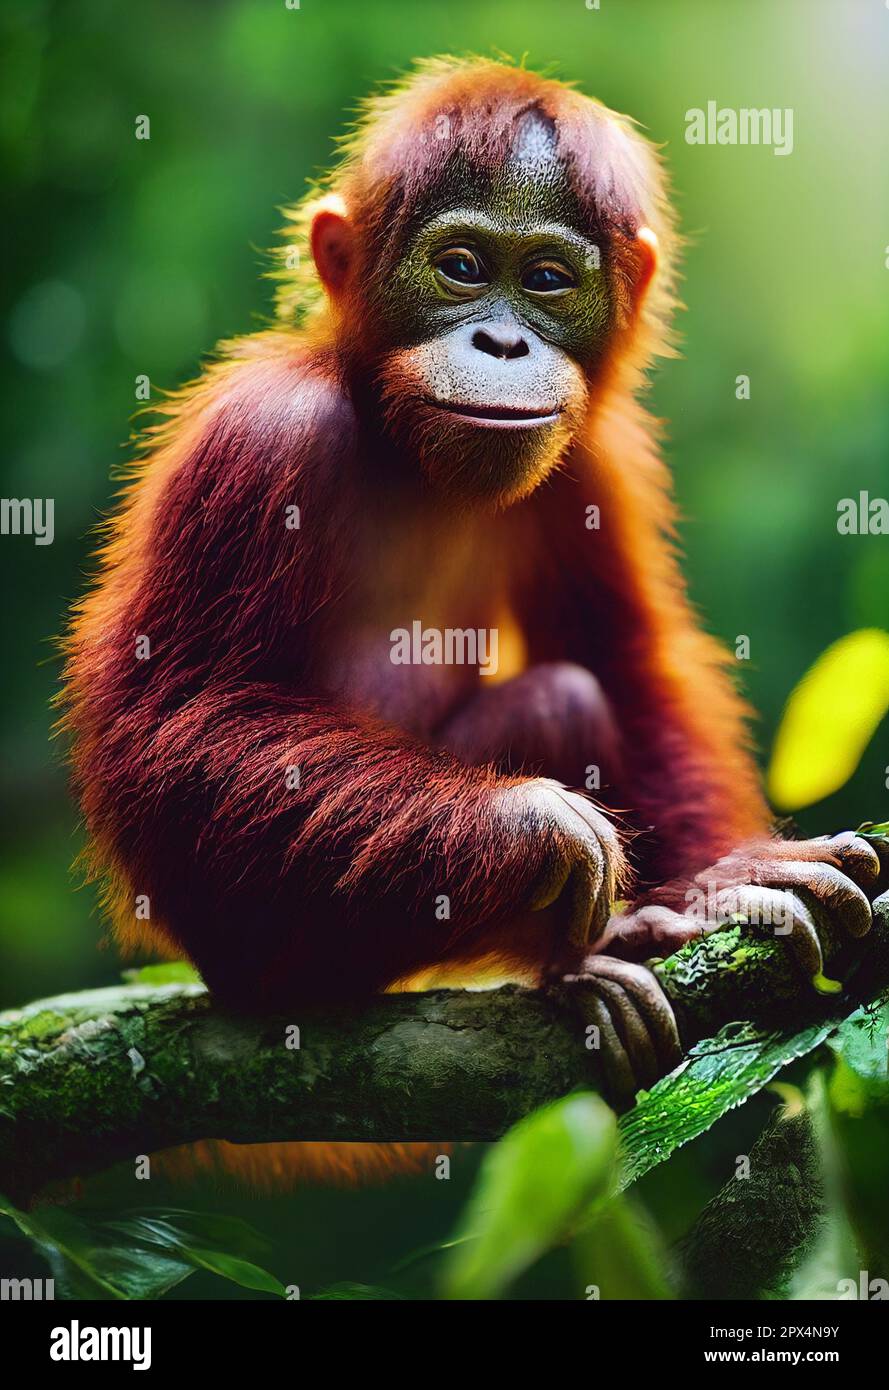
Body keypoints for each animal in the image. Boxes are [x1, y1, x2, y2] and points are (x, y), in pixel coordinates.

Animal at [62, 56, 879, 1134]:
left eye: (544, 279)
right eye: (459, 266)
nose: (500, 343)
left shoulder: (593, 465)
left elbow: (624, 655)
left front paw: (723, 883)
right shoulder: (259, 441)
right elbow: (176, 719)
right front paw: (526, 827)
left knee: (566, 691)